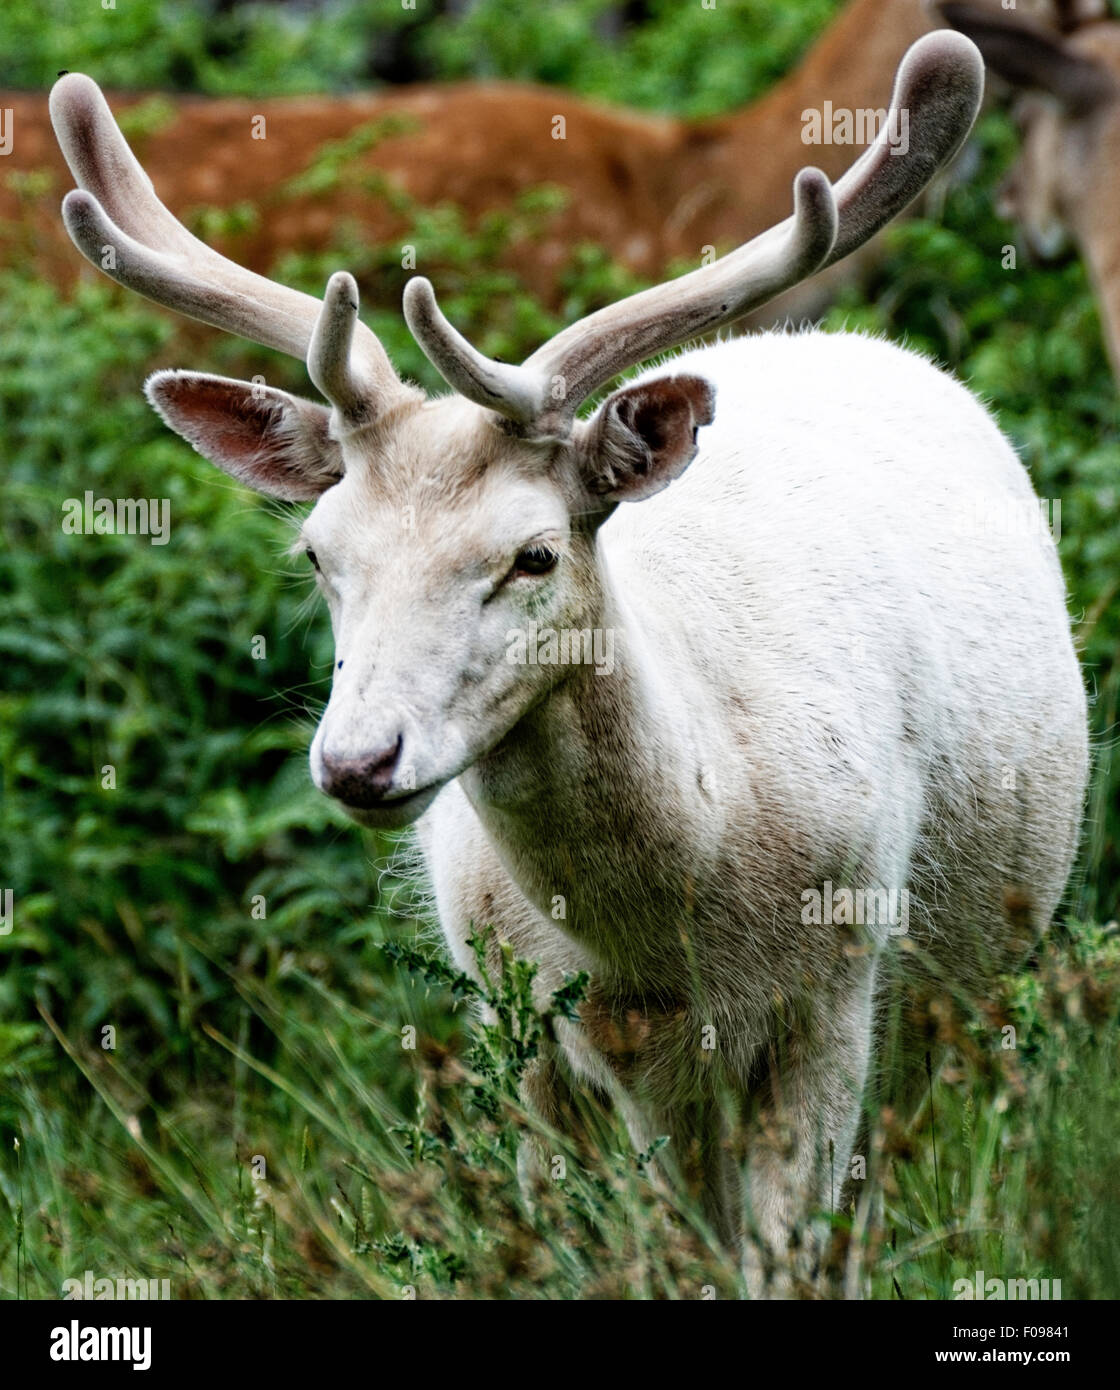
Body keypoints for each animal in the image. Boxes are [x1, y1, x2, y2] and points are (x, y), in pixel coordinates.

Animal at [47, 31, 1089, 1295]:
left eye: (533, 553)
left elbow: (788, 1252)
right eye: (317, 552)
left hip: (962, 978)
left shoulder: (835, 994)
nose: (358, 761)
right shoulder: (529, 1030)